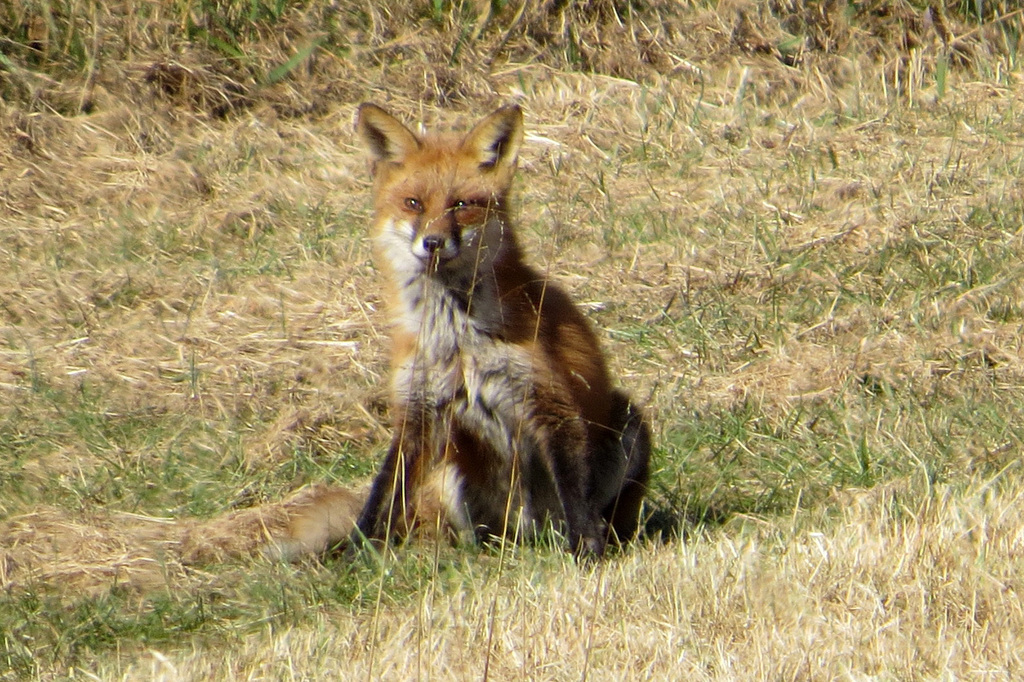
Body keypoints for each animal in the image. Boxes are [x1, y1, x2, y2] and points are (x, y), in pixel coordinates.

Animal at [339, 102, 652, 560]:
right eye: (413, 203)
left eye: (462, 204)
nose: (433, 243)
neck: (458, 336)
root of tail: (528, 535)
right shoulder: (416, 410)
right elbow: (383, 493)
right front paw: (355, 554)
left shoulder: (549, 401)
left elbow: (576, 496)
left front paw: (587, 554)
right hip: (451, 479)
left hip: (629, 424)